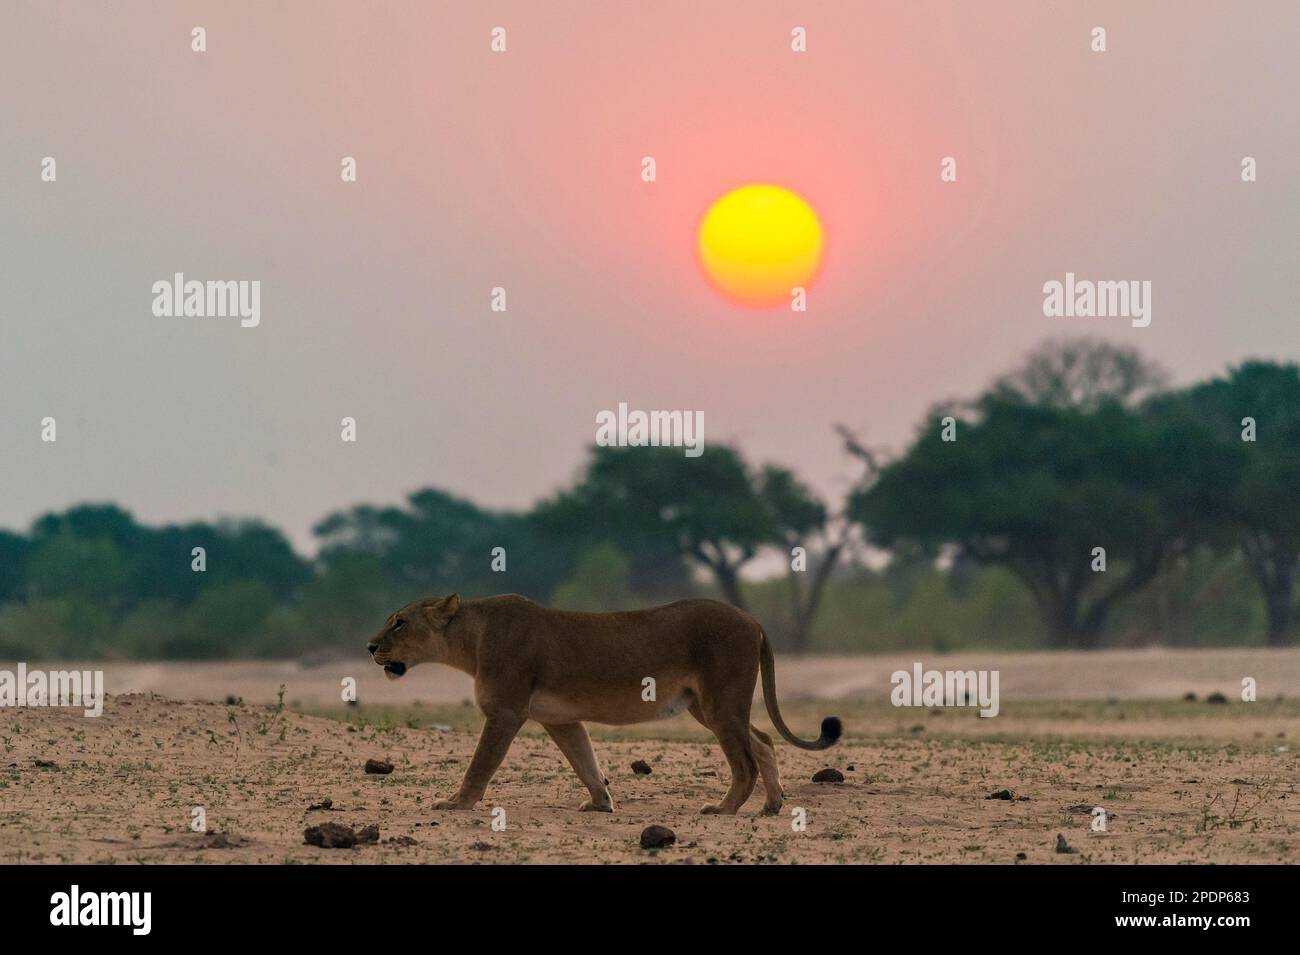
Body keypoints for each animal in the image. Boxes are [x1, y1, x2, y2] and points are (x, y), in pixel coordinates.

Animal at [367, 593, 841, 814]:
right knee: (763, 742)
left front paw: (456, 803)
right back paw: (772, 804)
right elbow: (585, 762)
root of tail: (752, 618)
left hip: (721, 703)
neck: (469, 642)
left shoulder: (505, 712)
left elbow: (480, 764)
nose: (370, 646)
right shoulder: (559, 719)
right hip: (706, 706)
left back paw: (723, 809)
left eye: (400, 622)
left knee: (744, 761)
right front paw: (600, 804)